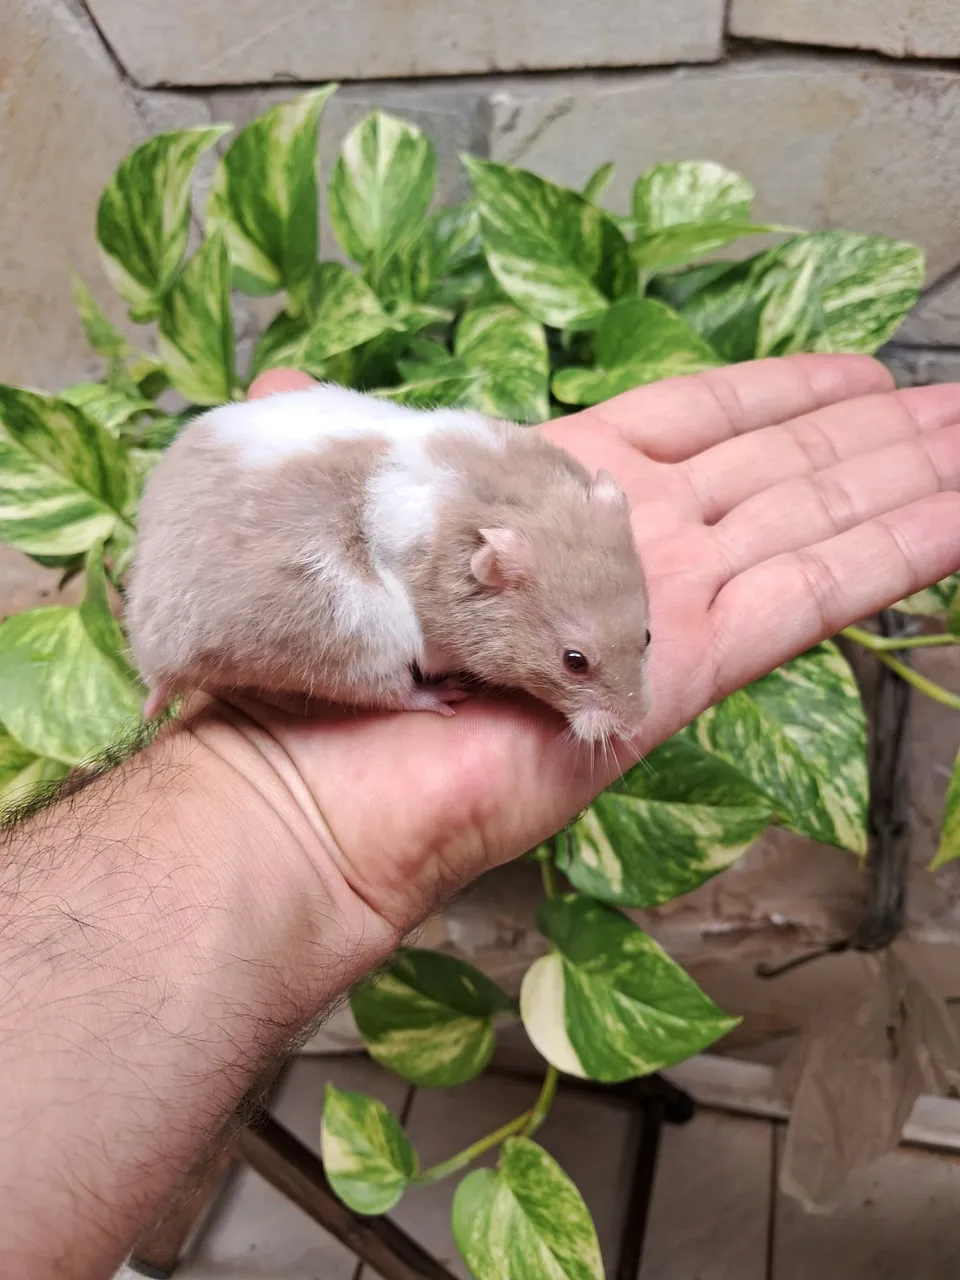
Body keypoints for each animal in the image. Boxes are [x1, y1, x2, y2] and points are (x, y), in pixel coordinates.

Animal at [126, 384, 651, 744]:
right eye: (573, 662)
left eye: (647, 636)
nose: (636, 727)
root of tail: (155, 661)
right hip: (355, 638)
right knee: (390, 692)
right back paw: (446, 696)